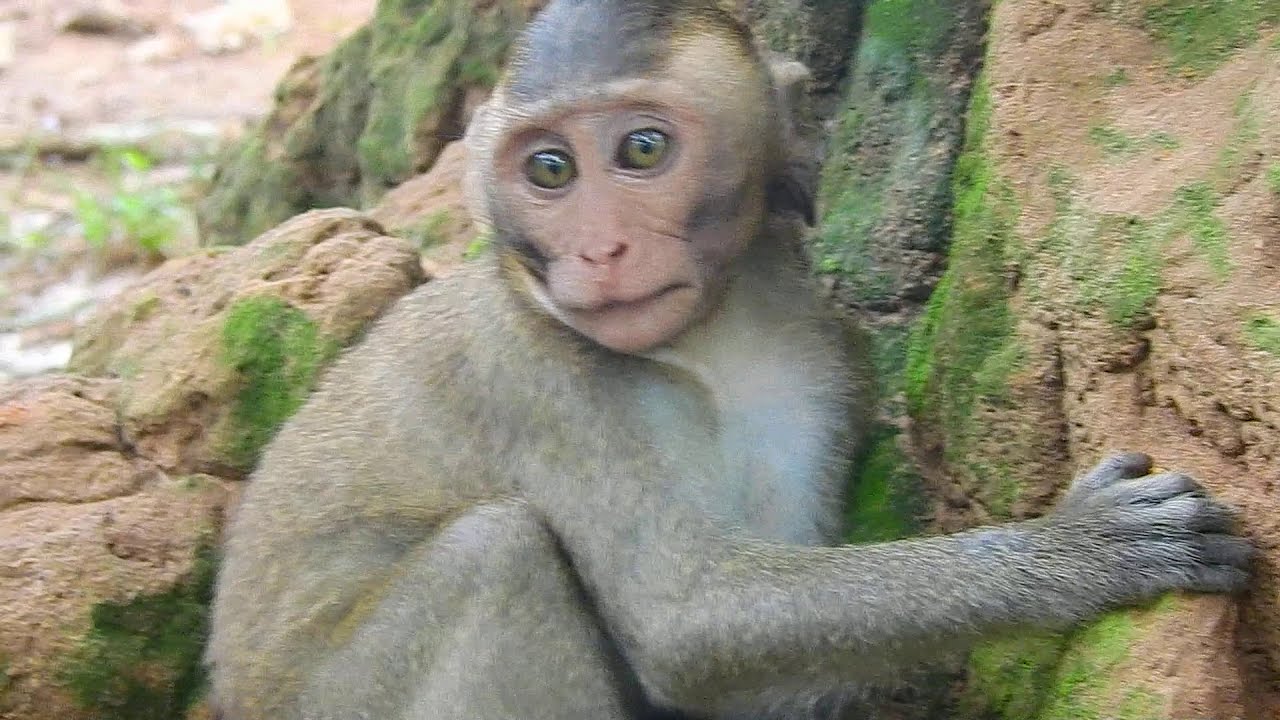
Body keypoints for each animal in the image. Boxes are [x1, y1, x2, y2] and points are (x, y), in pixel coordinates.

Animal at [205, 1, 1253, 718]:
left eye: (642, 149)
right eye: (548, 169)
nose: (601, 252)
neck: (704, 340)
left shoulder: (820, 357)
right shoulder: (526, 370)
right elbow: (686, 621)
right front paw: (1077, 552)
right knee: (493, 553)